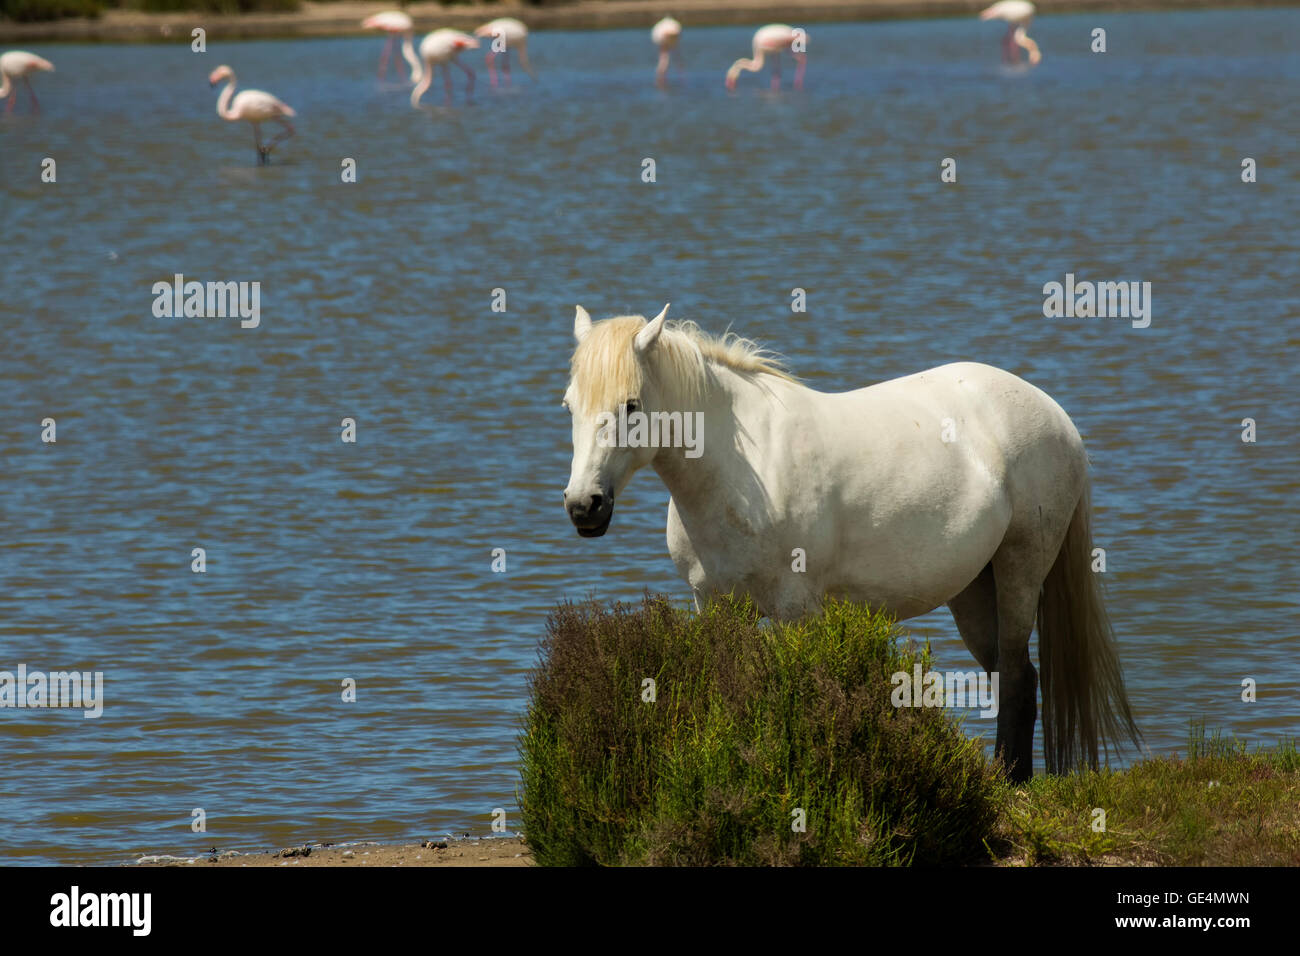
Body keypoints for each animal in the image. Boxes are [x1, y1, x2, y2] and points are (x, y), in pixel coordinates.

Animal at [561, 304, 1141, 782]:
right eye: (569, 404)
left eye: (631, 405)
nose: (584, 506)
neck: (741, 470)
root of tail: (1057, 417)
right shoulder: (715, 606)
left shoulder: (796, 609)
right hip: (976, 589)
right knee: (1009, 676)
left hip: (1021, 569)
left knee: (1019, 680)